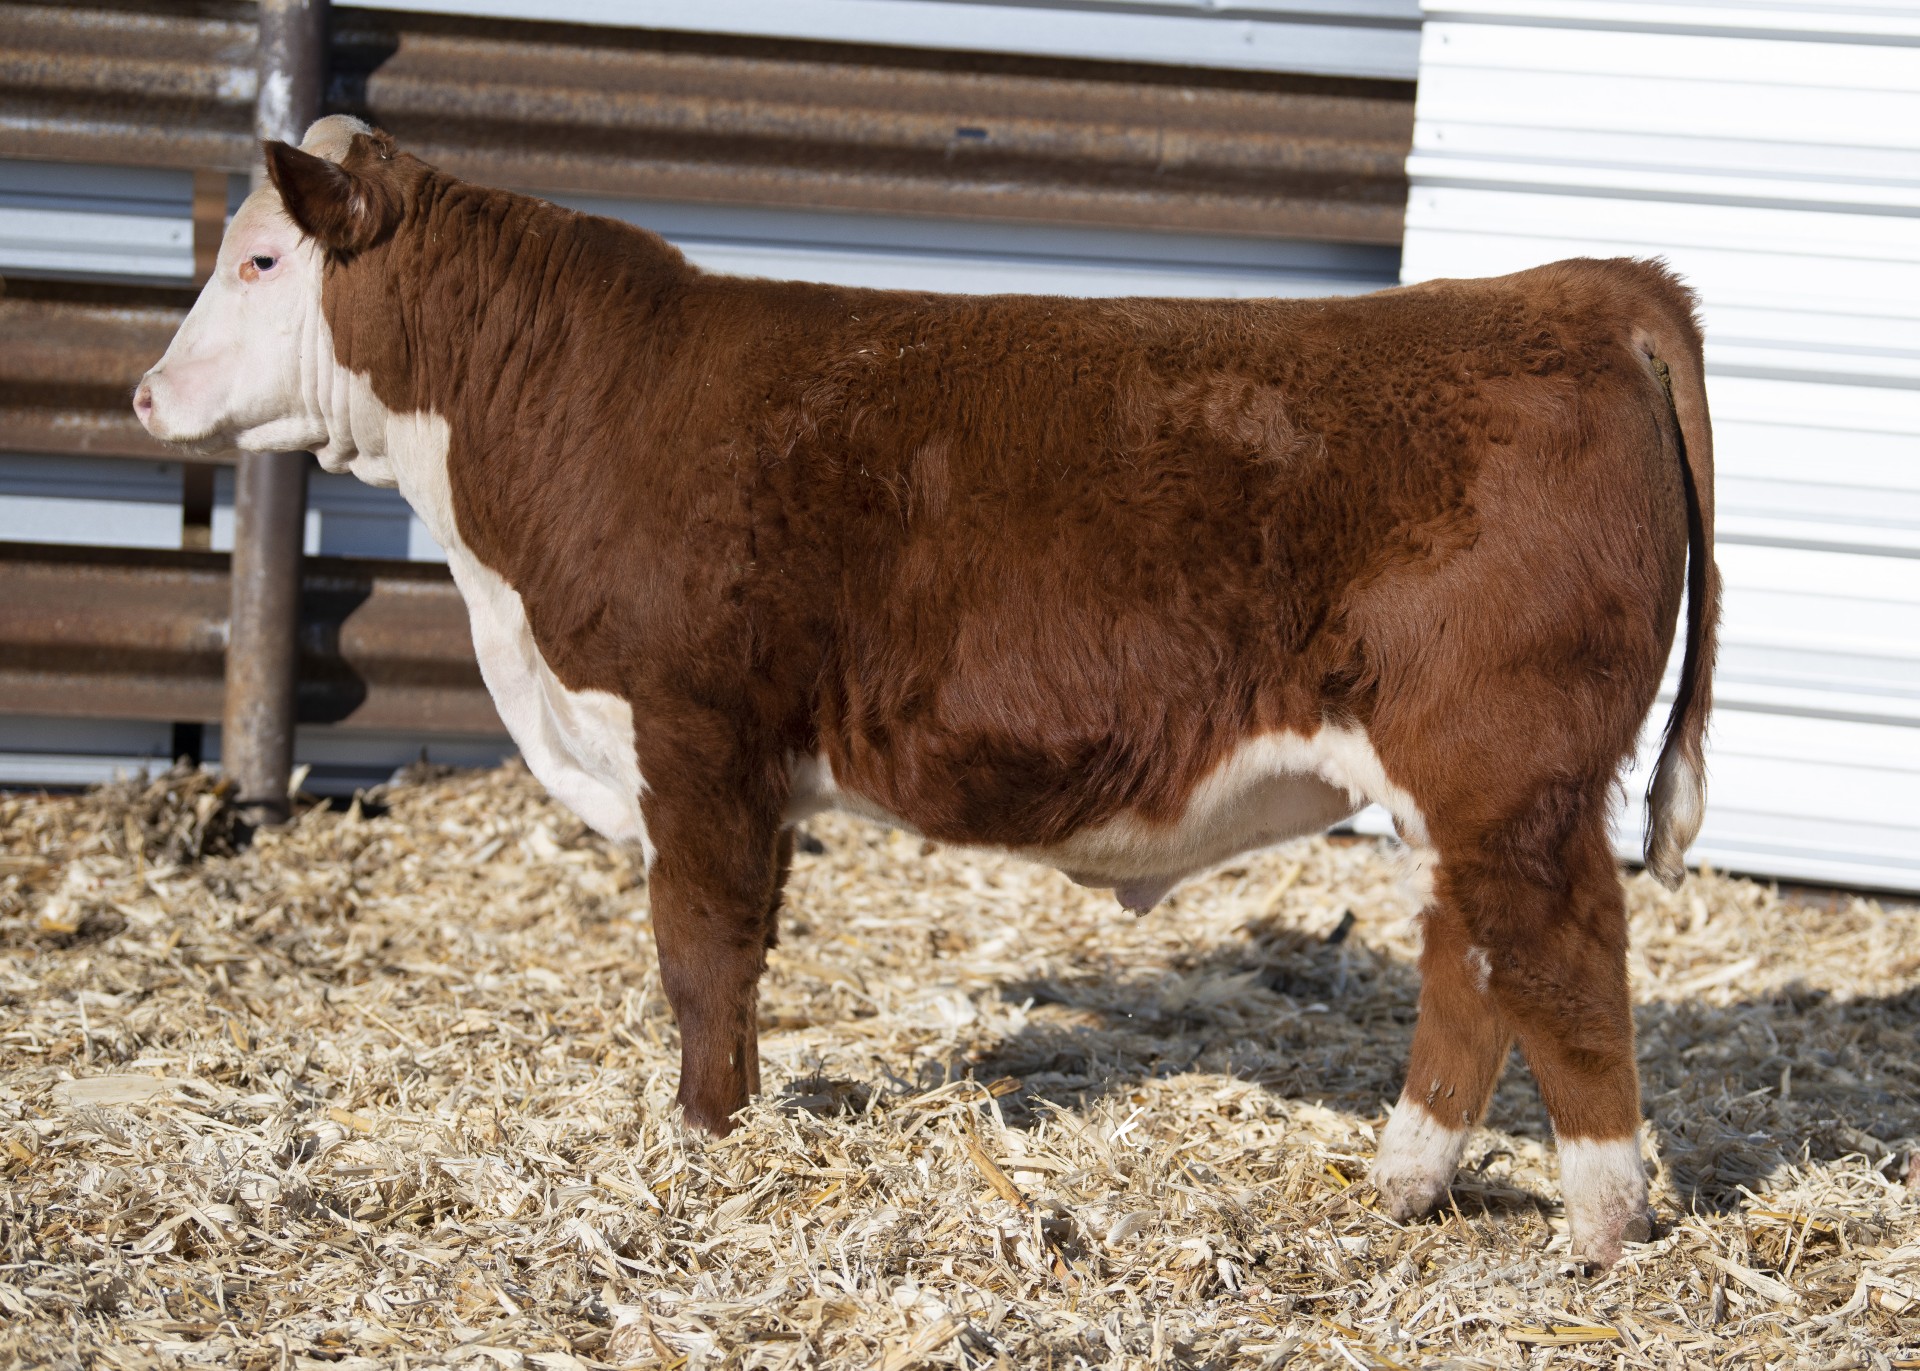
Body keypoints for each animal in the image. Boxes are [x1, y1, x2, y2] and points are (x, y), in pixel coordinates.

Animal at [135, 115, 1718, 1270]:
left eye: (262, 259)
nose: (148, 396)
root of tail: (1580, 289)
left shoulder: (696, 732)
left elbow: (701, 948)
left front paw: (705, 1141)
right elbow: (740, 955)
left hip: (1507, 764)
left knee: (1563, 957)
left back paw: (1602, 1226)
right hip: (1460, 785)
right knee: (1473, 960)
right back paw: (1399, 1184)